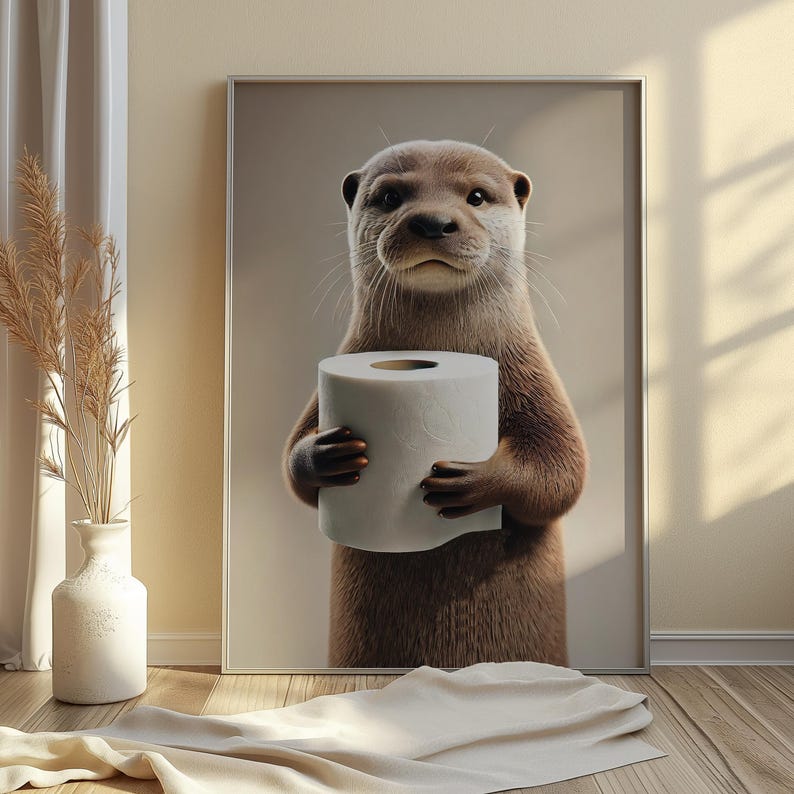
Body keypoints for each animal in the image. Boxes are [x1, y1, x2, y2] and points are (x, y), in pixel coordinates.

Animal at [283, 140, 587, 669]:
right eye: (389, 196)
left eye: (477, 195)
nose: (432, 222)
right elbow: (292, 464)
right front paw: (327, 454)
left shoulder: (538, 382)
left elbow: (562, 470)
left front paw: (474, 480)